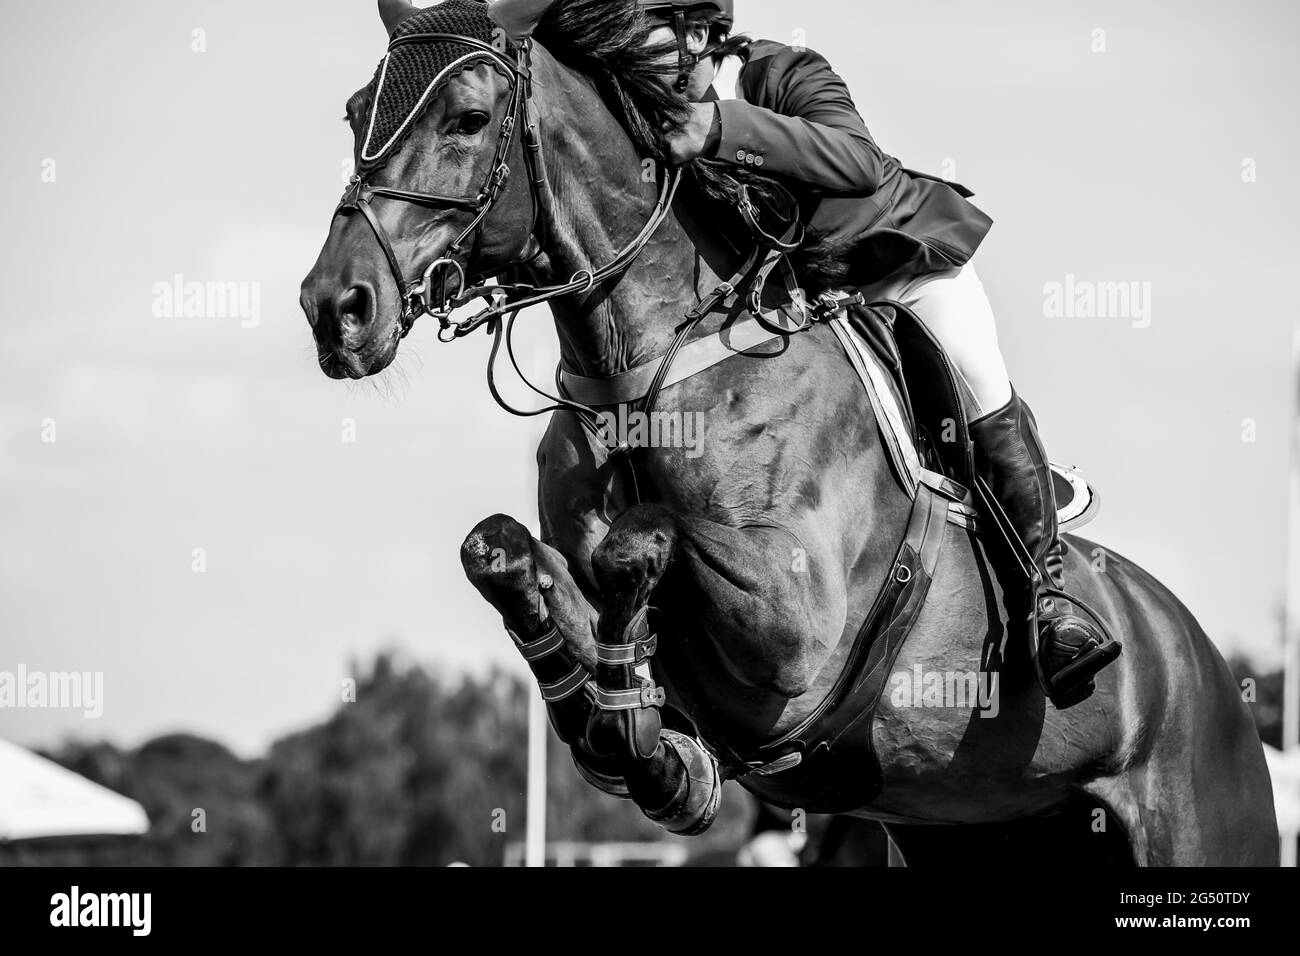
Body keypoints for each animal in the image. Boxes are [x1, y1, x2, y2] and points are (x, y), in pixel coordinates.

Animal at [300, 0, 1278, 866]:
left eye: (468, 119)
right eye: (353, 114)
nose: (334, 309)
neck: (645, 367)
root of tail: (1202, 657)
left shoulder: (792, 623)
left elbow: (640, 541)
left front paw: (646, 746)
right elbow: (503, 552)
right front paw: (642, 745)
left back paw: (1064, 629)